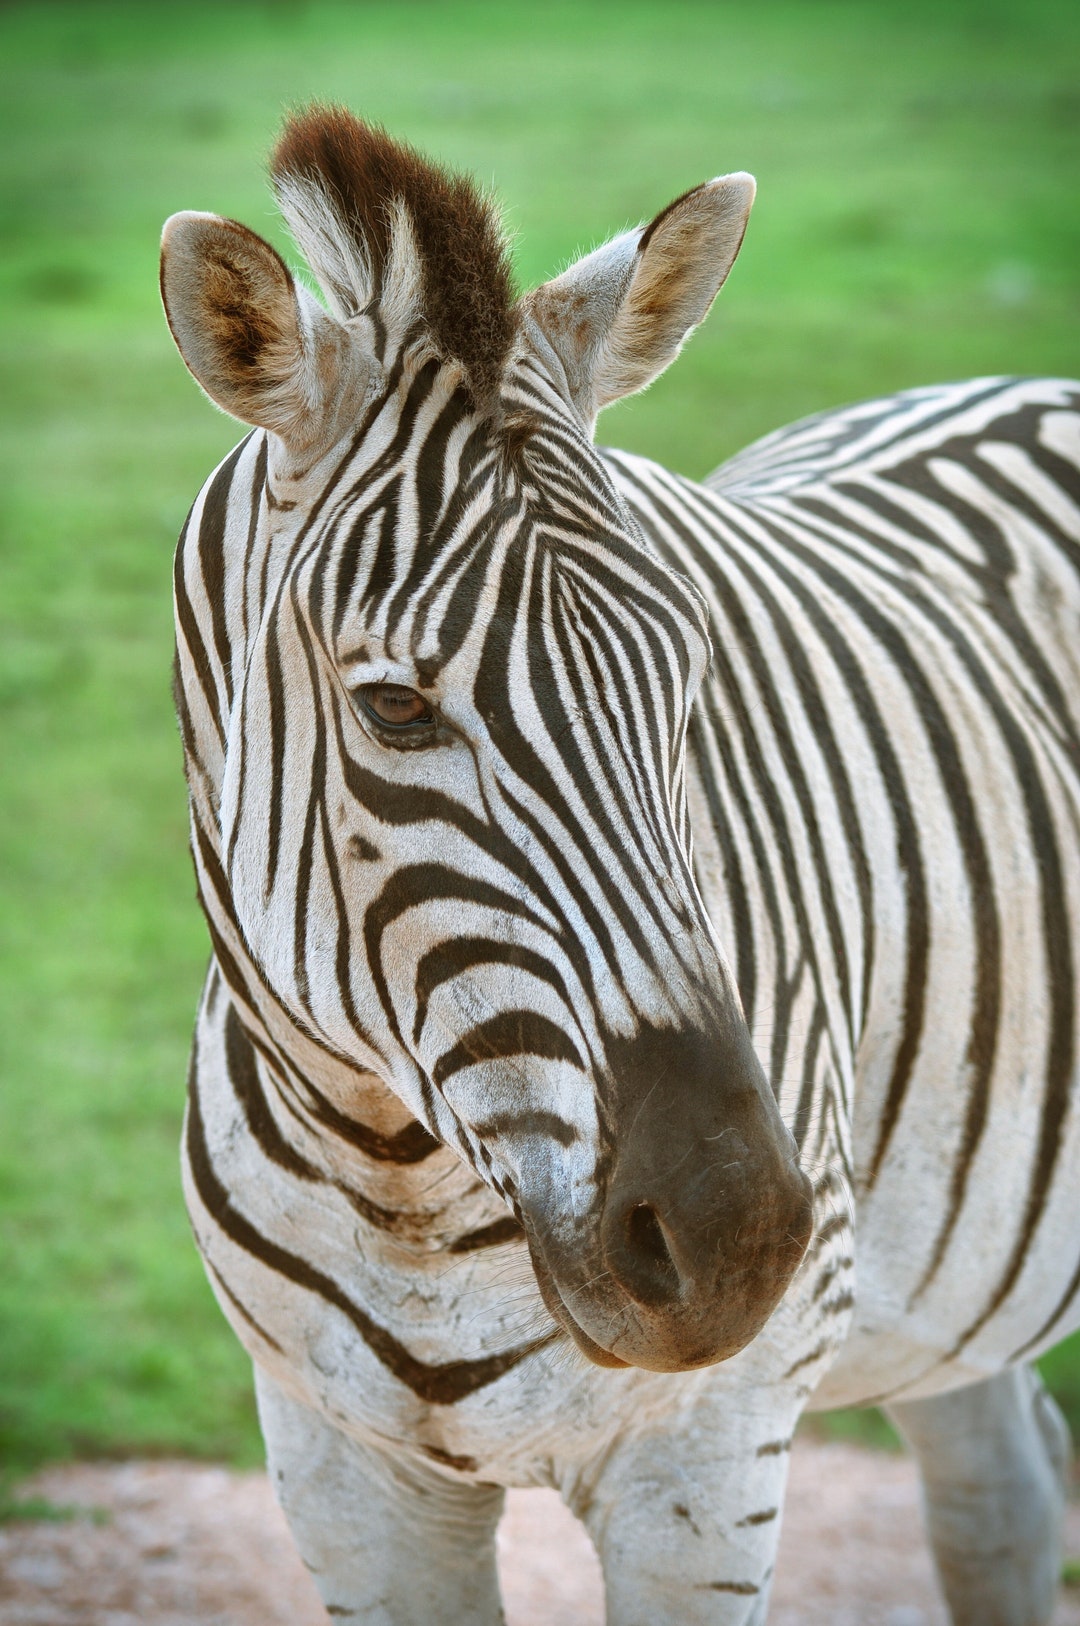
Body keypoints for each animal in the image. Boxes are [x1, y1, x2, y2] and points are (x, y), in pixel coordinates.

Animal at [159, 104, 1080, 1624]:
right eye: (392, 708)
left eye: (690, 681)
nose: (737, 1235)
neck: (400, 1185)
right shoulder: (340, 1469)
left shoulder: (706, 1464)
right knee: (998, 1489)